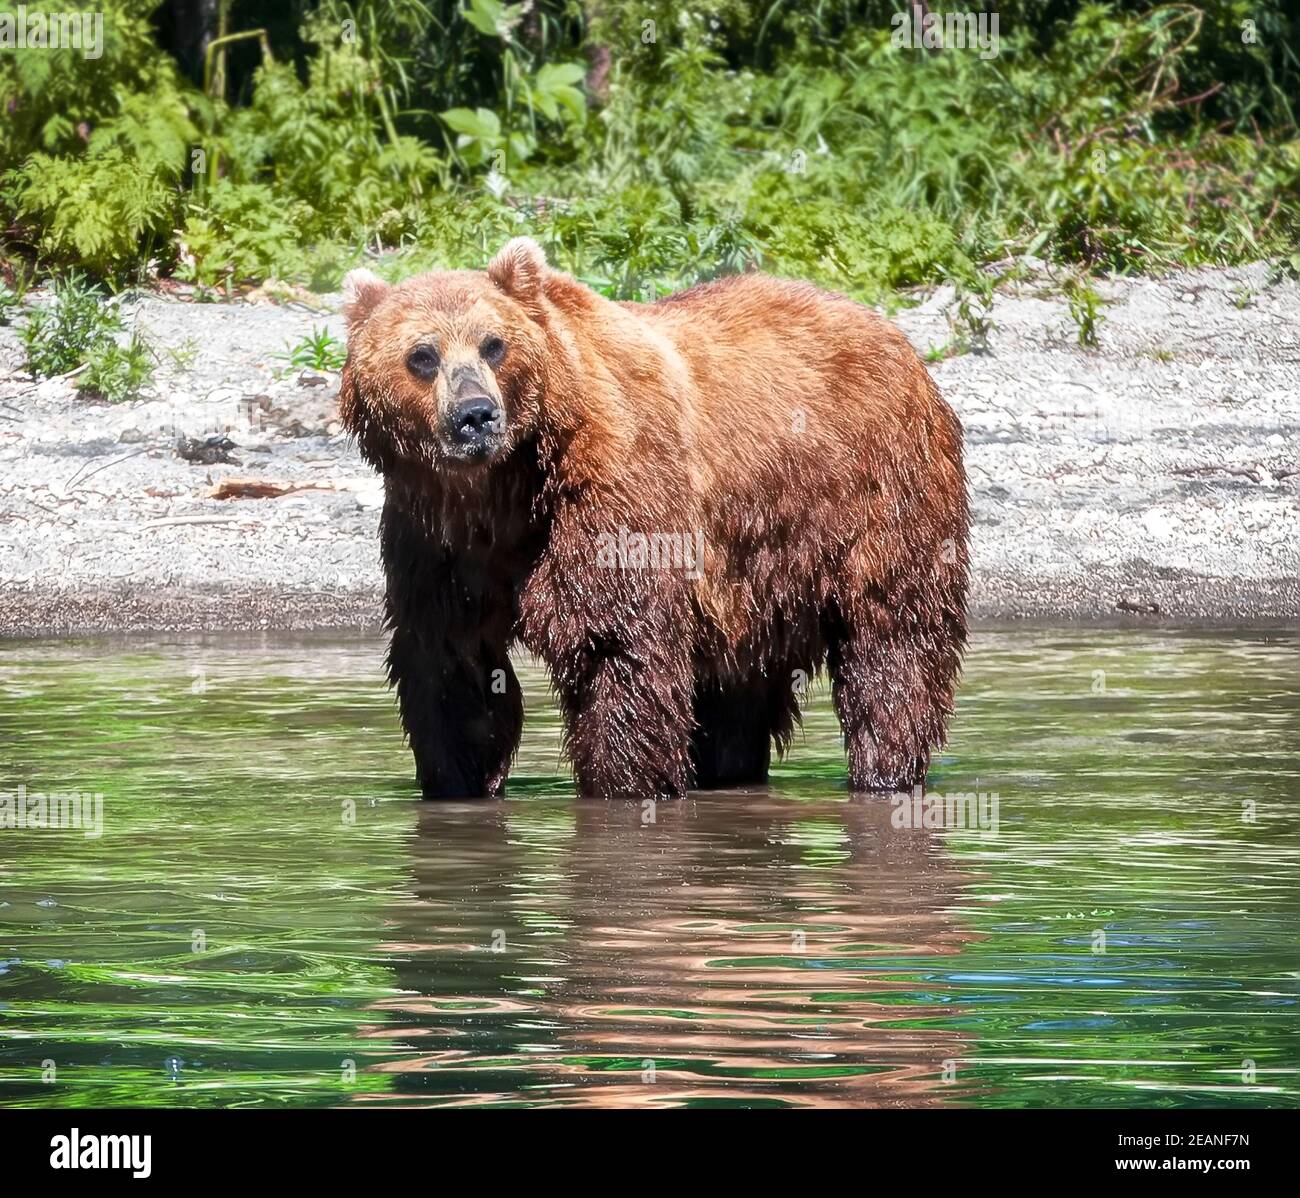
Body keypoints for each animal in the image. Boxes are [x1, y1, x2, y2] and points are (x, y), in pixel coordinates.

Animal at [340, 238, 969, 799]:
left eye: (493, 344)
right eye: (422, 355)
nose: (476, 415)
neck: (503, 490)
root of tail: (893, 334)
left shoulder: (614, 488)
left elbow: (617, 646)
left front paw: (622, 784)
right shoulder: (432, 538)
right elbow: (452, 664)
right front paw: (457, 780)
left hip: (877, 492)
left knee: (892, 642)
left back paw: (884, 768)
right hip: (754, 578)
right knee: (737, 686)